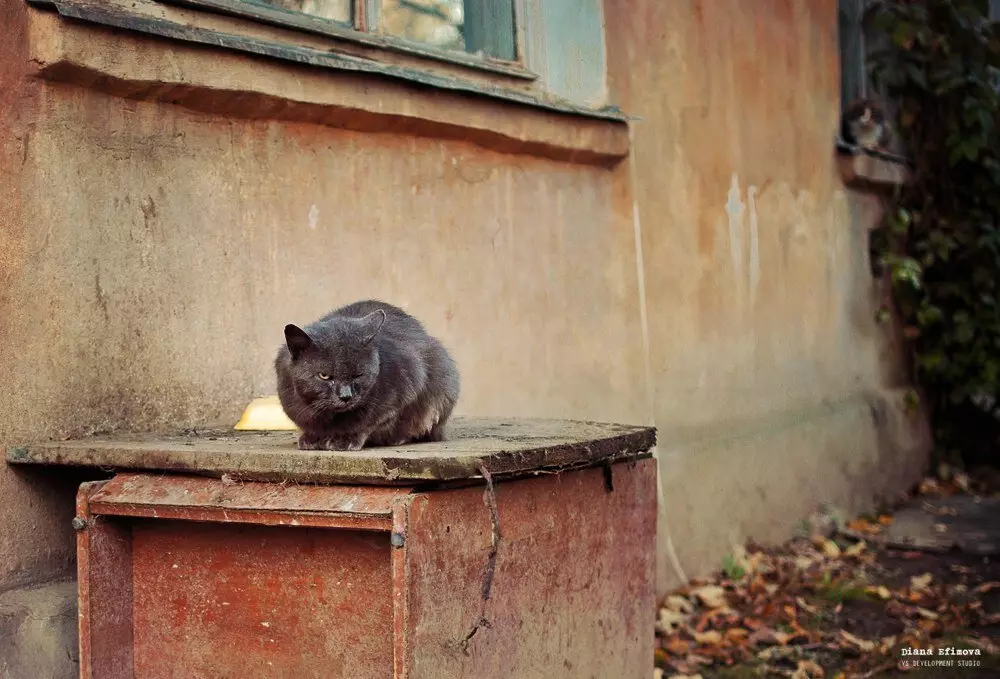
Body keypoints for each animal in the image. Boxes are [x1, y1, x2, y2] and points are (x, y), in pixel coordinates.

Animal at [274, 302, 460, 452]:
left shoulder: (407, 386)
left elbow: (369, 423)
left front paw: (345, 440)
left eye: (358, 375)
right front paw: (311, 438)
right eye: (324, 376)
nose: (345, 396)